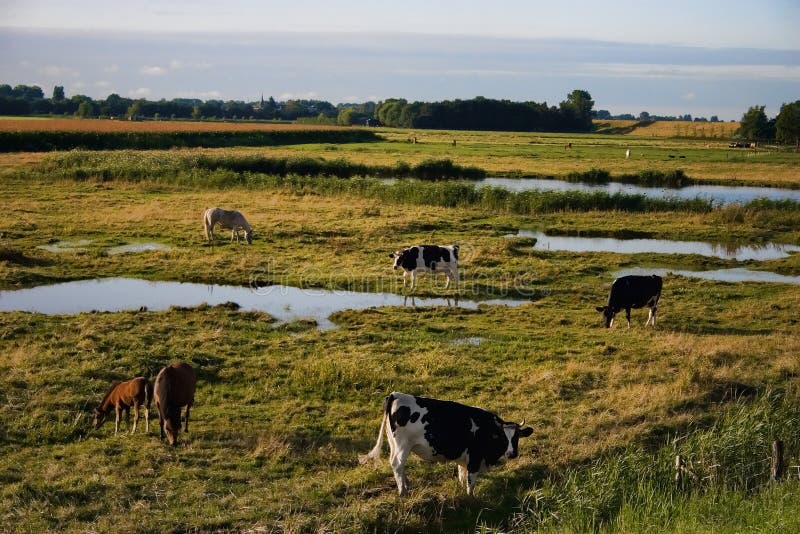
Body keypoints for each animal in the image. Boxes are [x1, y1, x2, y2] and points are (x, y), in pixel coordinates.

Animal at [359, 392, 534, 496]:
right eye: (504, 438)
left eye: (517, 437)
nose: (512, 454)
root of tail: (396, 394)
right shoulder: (474, 458)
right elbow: (470, 481)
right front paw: (470, 497)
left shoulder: (465, 458)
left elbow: (462, 474)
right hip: (402, 445)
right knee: (397, 464)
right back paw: (403, 492)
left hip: (394, 444)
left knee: (398, 466)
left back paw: (407, 485)